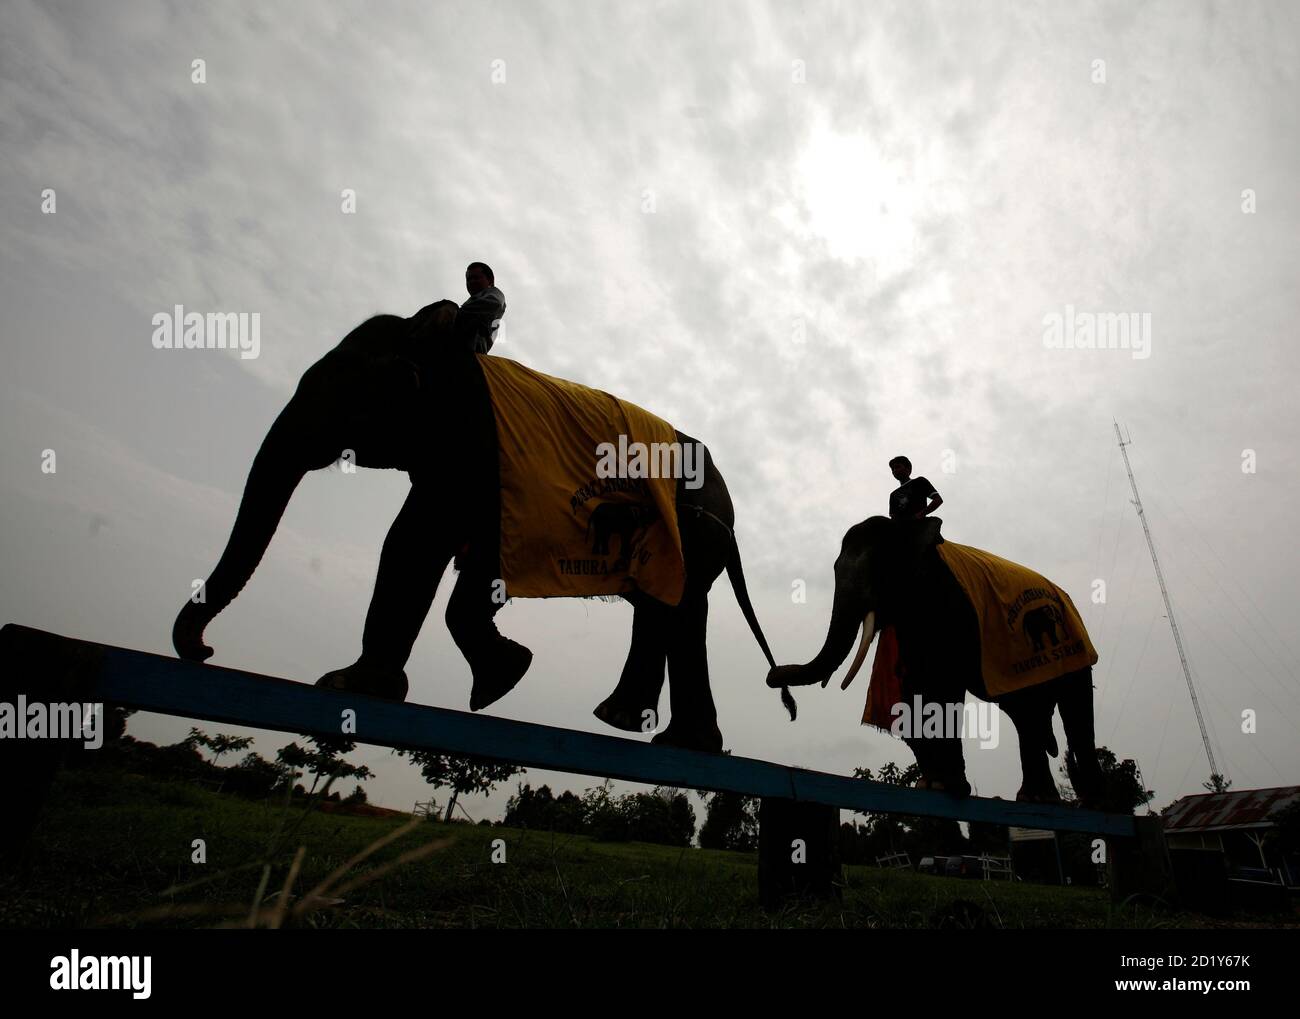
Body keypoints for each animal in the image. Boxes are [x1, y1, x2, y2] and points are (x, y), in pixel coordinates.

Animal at [171, 303, 777, 752]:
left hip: (692, 532)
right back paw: (646, 729)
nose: (206, 651)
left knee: (675, 610)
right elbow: (414, 543)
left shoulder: (476, 455)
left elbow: (431, 544)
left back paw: (662, 736)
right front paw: (364, 686)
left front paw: (499, 678)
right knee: (667, 613)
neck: (443, 350)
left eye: (349, 393)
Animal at [765, 516, 1105, 806]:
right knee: (1027, 713)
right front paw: (931, 784)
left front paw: (947, 786)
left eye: (882, 569)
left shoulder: (947, 608)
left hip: (1076, 648)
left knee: (1074, 713)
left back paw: (1087, 804)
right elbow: (914, 681)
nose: (773, 676)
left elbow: (943, 683)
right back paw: (1037, 799)